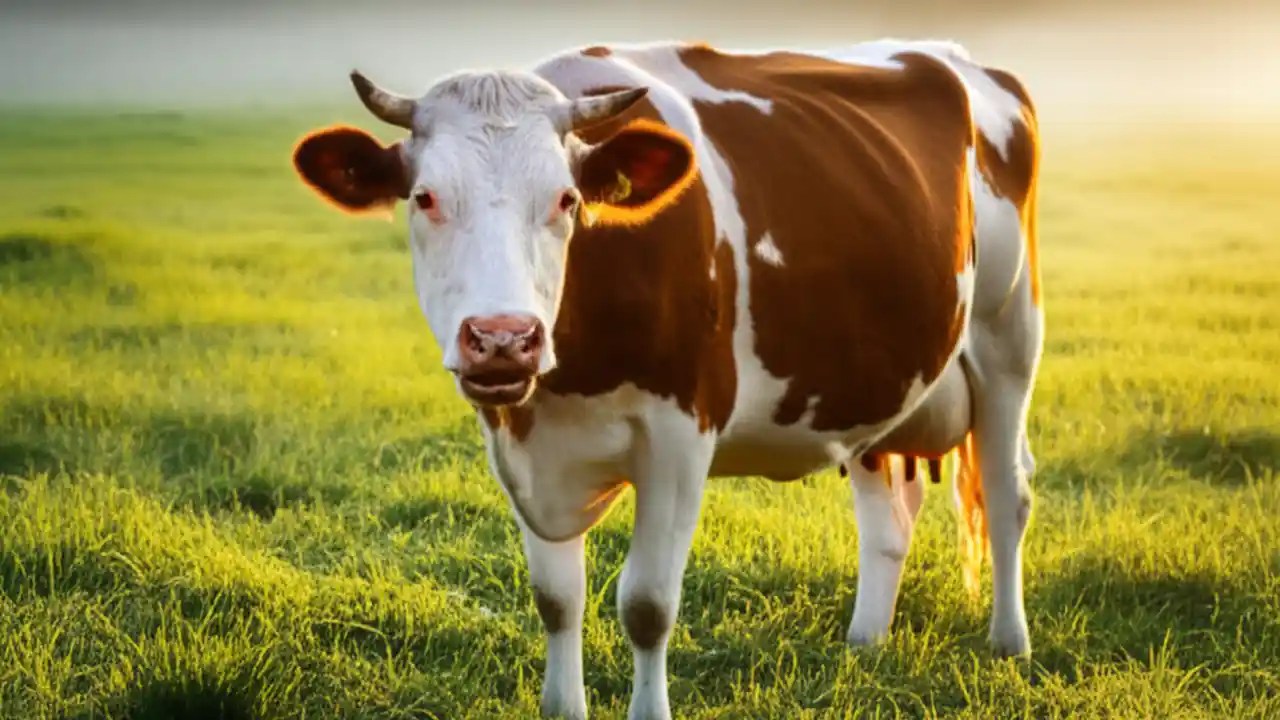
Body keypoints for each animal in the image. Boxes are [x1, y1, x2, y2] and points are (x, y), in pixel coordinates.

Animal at [291, 38, 1044, 720]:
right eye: (424, 198)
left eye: (567, 199)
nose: (503, 338)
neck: (568, 382)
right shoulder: (519, 446)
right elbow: (555, 600)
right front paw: (562, 707)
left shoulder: (680, 439)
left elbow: (647, 605)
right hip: (869, 380)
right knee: (888, 513)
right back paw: (865, 643)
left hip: (1008, 338)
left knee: (1007, 493)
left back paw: (1010, 645)